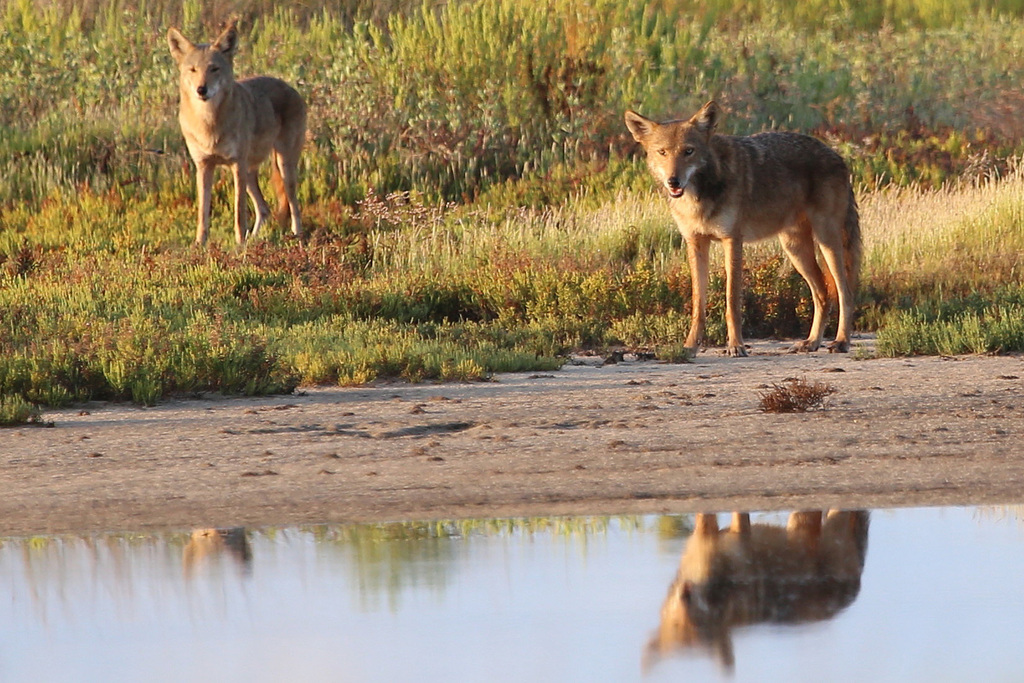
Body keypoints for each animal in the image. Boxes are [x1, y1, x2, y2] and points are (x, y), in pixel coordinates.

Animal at [167, 21, 306, 246]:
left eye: (214, 69)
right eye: (193, 70)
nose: (201, 89)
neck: (209, 125)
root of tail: (291, 87)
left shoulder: (236, 165)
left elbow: (239, 212)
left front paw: (240, 243)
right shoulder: (204, 166)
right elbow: (203, 212)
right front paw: (200, 243)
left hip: (283, 168)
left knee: (293, 205)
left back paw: (297, 237)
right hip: (250, 173)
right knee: (264, 209)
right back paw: (256, 239)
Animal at [625, 102, 861, 356]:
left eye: (688, 151)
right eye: (663, 152)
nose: (673, 181)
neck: (698, 197)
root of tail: (837, 155)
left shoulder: (732, 240)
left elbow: (732, 301)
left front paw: (736, 345)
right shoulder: (696, 243)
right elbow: (698, 304)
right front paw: (690, 346)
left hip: (827, 242)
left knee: (846, 293)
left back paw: (841, 341)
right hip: (795, 250)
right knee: (822, 294)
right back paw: (812, 342)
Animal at [645, 510, 870, 671]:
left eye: (703, 631)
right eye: (676, 626)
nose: (687, 591)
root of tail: (856, 584)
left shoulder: (735, 534)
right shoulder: (710, 532)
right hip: (803, 526)